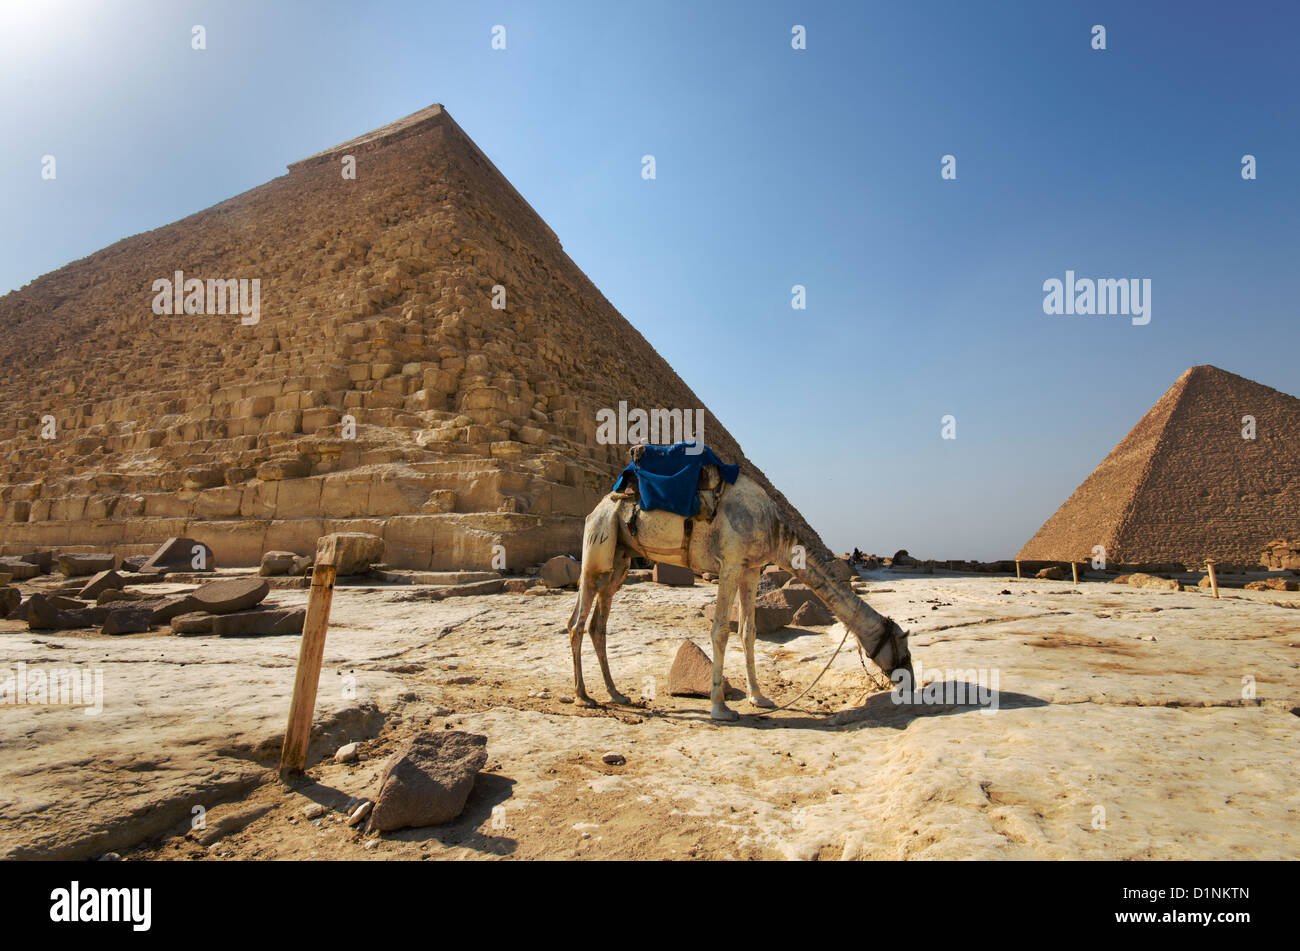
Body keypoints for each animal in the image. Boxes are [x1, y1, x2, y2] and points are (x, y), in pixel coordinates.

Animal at [567, 469, 913, 720]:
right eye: (903, 647)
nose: (908, 682)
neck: (775, 532)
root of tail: (597, 508)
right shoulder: (731, 563)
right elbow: (720, 630)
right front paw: (720, 708)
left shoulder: (751, 569)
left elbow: (748, 631)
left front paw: (758, 697)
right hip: (599, 542)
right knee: (577, 622)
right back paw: (583, 696)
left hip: (620, 558)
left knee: (598, 624)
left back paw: (615, 694)